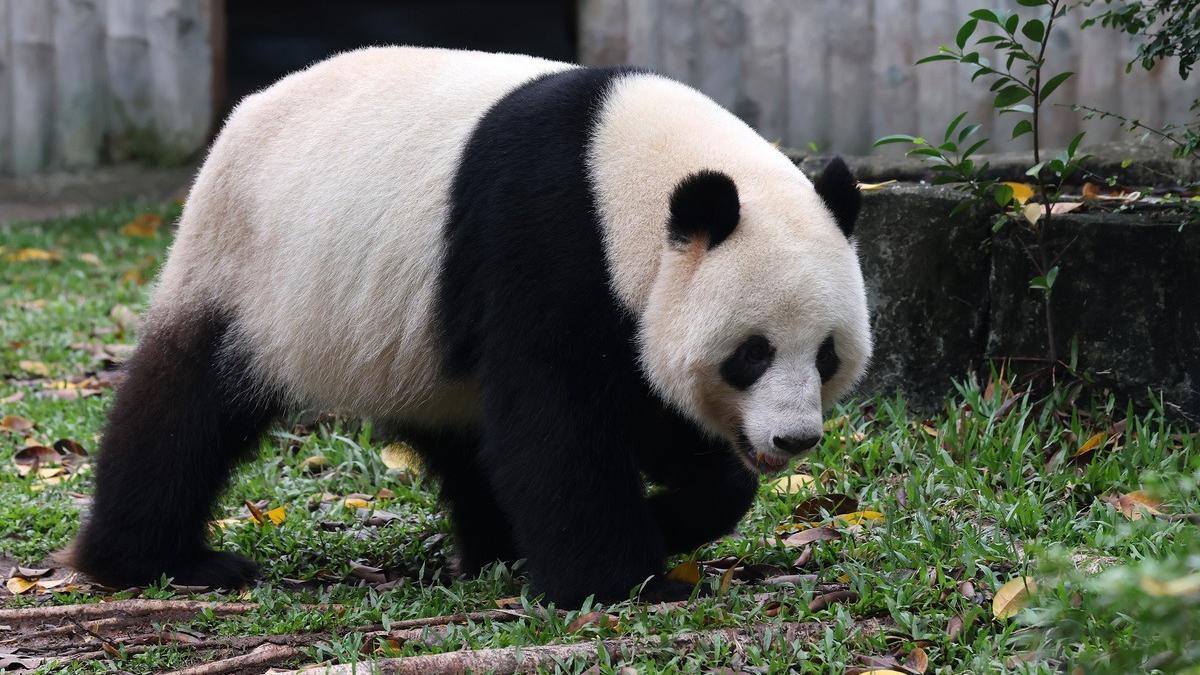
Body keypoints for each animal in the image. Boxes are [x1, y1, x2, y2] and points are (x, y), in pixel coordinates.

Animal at [66, 47, 872, 606]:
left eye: (826, 355)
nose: (793, 439)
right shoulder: (546, 237)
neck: (623, 172)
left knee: (465, 435)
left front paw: (671, 515)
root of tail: (241, 115)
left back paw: (497, 548)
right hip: (251, 270)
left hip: (407, 343)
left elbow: (650, 411)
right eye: (751, 354)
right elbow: (559, 421)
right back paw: (158, 561)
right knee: (186, 404)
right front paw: (622, 580)